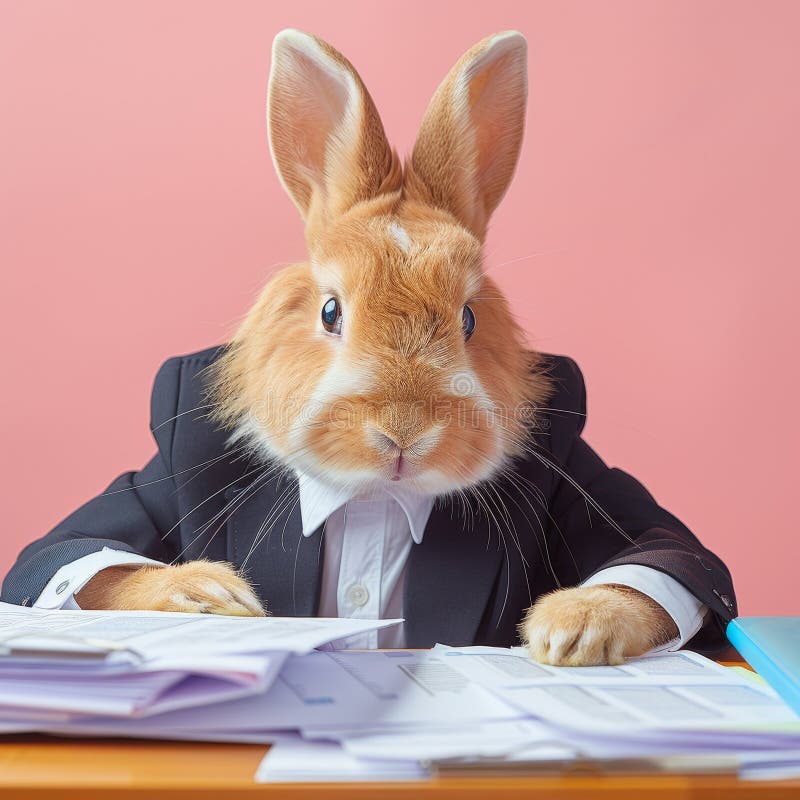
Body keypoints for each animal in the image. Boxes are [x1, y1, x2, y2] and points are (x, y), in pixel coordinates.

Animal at [35, 28, 727, 666]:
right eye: (331, 312)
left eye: (469, 318)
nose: (403, 432)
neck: (375, 497)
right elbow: (73, 550)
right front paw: (206, 595)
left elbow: (665, 552)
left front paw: (575, 625)